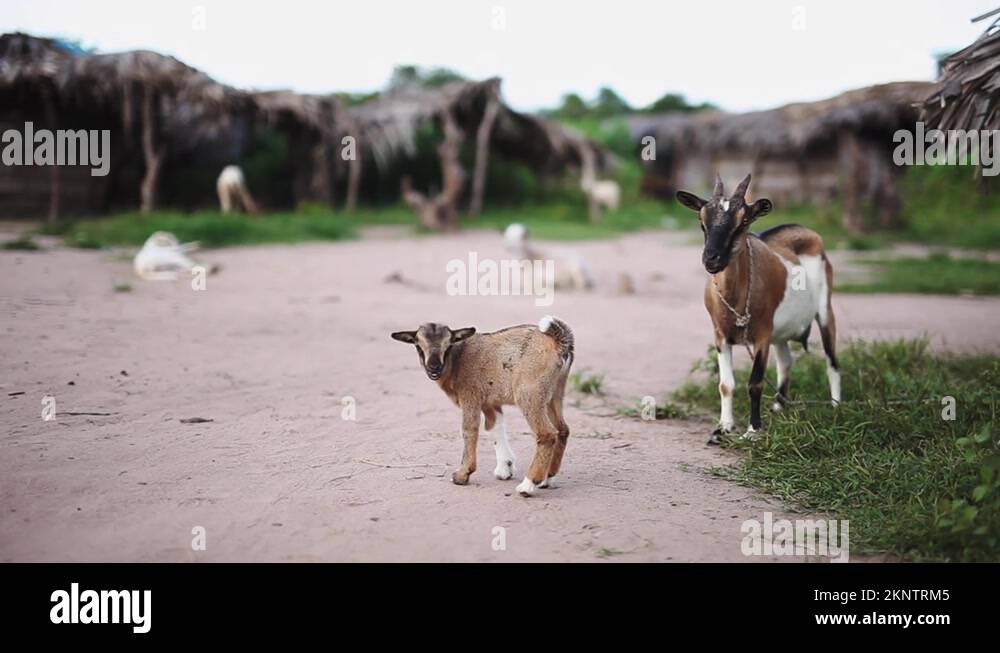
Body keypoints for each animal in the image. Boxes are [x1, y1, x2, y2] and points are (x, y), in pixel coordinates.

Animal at [391, 316, 574, 497]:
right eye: (418, 345)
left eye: (448, 345)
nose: (434, 368)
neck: (457, 360)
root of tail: (558, 341)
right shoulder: (489, 403)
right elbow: (494, 426)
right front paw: (504, 469)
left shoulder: (470, 397)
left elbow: (469, 429)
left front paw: (462, 475)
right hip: (554, 393)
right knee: (562, 430)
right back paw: (547, 479)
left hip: (529, 393)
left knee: (547, 433)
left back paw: (527, 485)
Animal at [675, 173, 840, 444]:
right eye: (702, 222)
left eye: (743, 222)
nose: (711, 259)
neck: (736, 298)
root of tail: (806, 232)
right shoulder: (720, 336)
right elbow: (725, 384)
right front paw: (723, 428)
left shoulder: (762, 334)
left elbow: (755, 384)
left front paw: (752, 431)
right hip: (780, 332)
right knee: (786, 361)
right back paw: (779, 407)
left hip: (825, 309)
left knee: (832, 360)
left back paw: (836, 406)